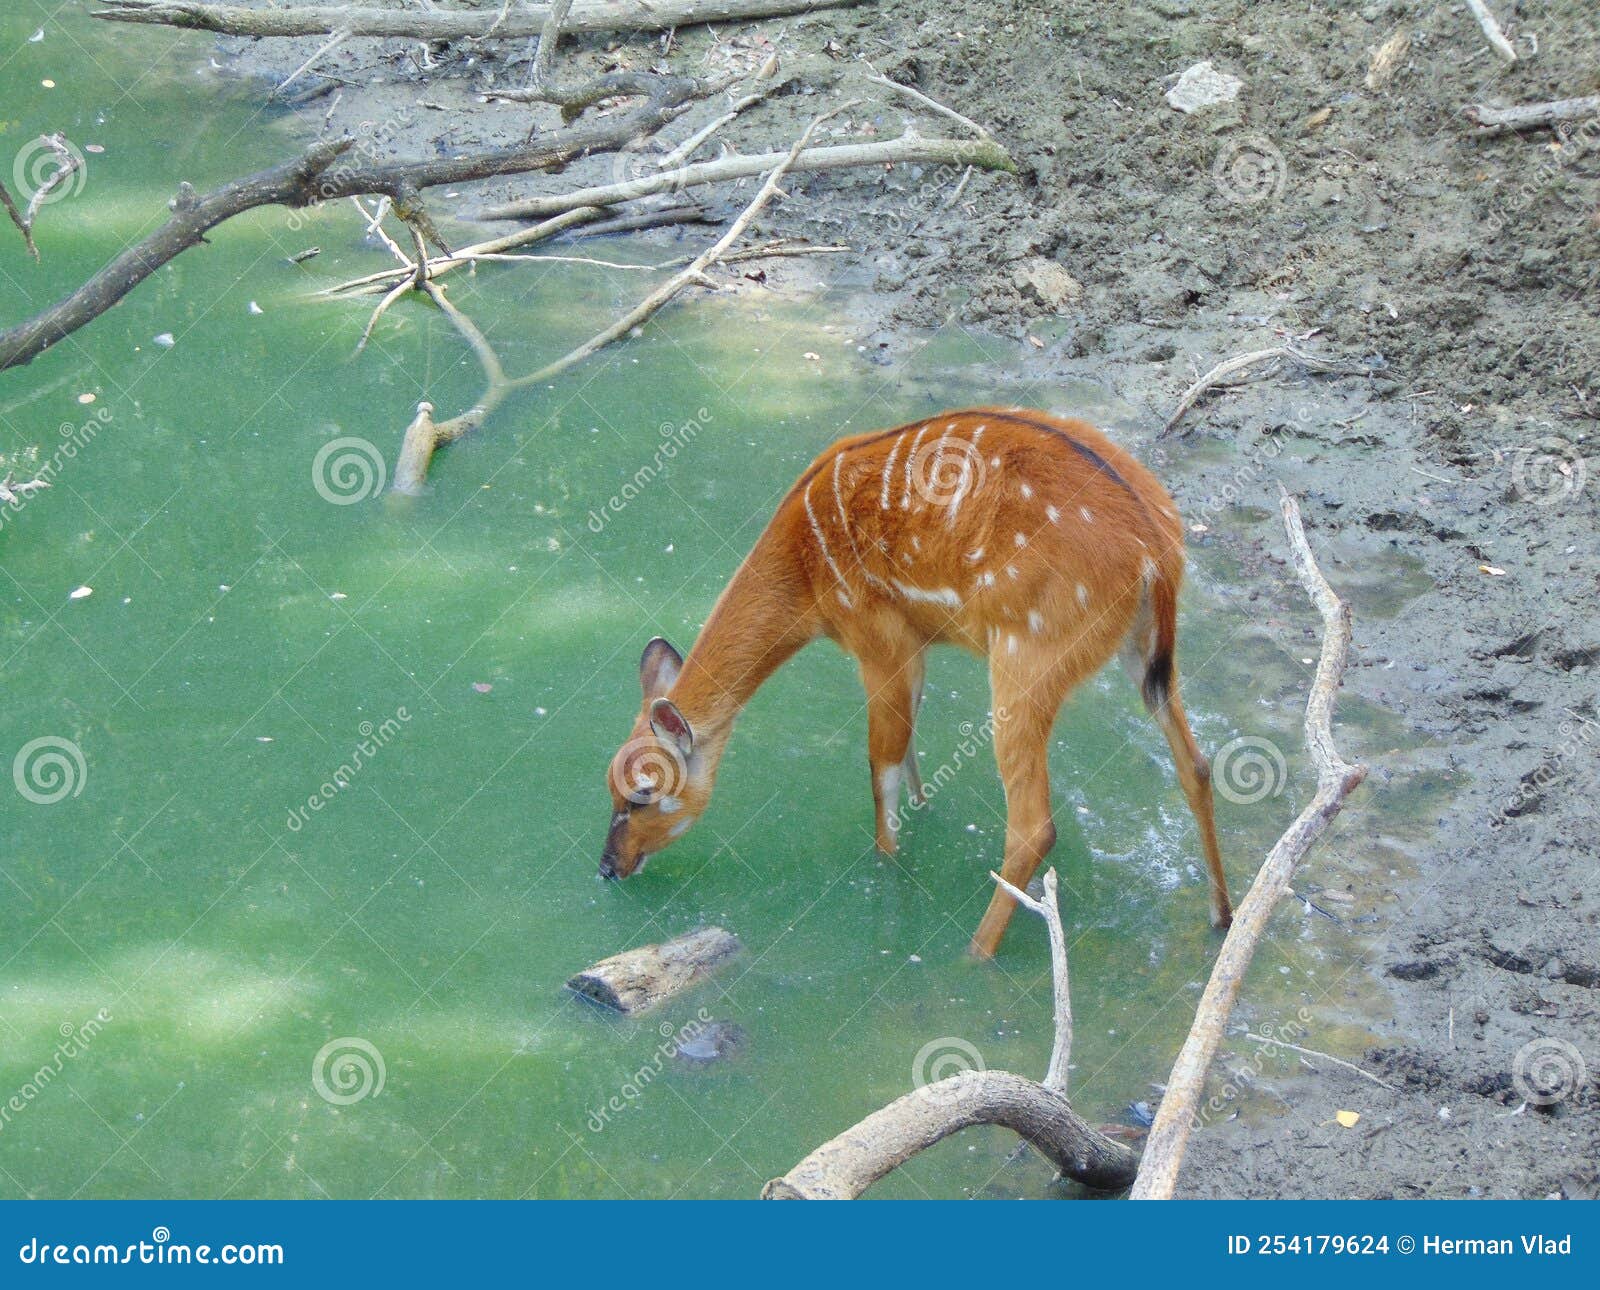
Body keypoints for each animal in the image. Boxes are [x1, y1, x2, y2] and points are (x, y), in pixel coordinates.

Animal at [601, 407, 1231, 957]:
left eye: (642, 793)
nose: (608, 867)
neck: (805, 577)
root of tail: (1156, 550)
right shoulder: (916, 644)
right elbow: (909, 755)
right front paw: (927, 812)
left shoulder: (879, 640)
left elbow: (882, 767)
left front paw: (889, 870)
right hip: (1144, 658)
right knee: (1197, 765)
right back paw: (1221, 916)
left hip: (1025, 660)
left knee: (1034, 825)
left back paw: (974, 953)